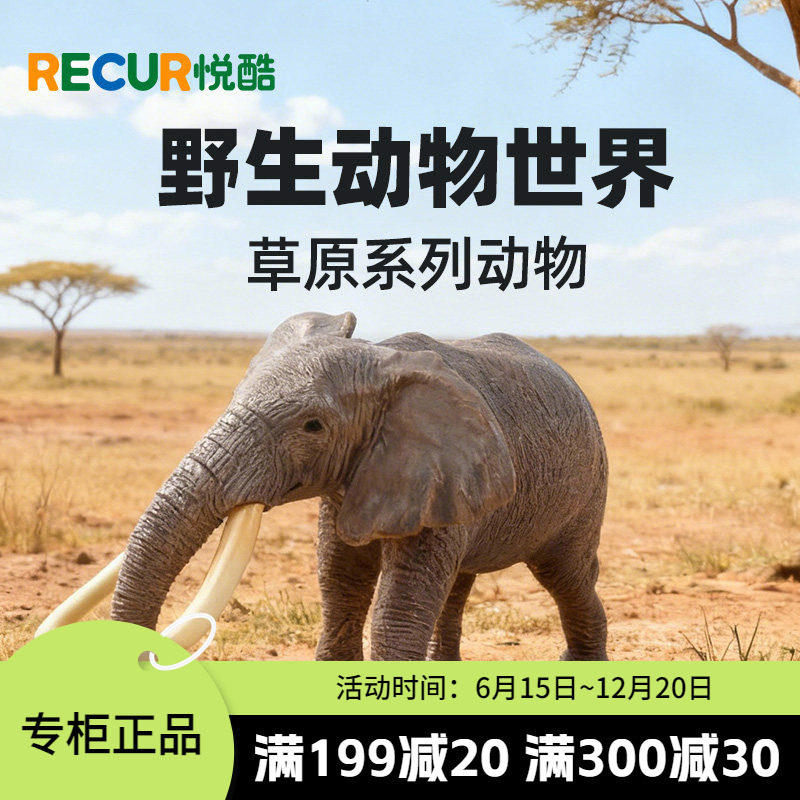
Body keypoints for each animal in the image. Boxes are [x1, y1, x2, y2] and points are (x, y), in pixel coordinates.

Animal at [104, 311, 608, 661]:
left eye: (312, 426)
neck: (379, 356)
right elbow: (340, 578)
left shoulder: (433, 464)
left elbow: (399, 600)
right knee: (459, 583)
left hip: (587, 488)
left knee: (566, 575)